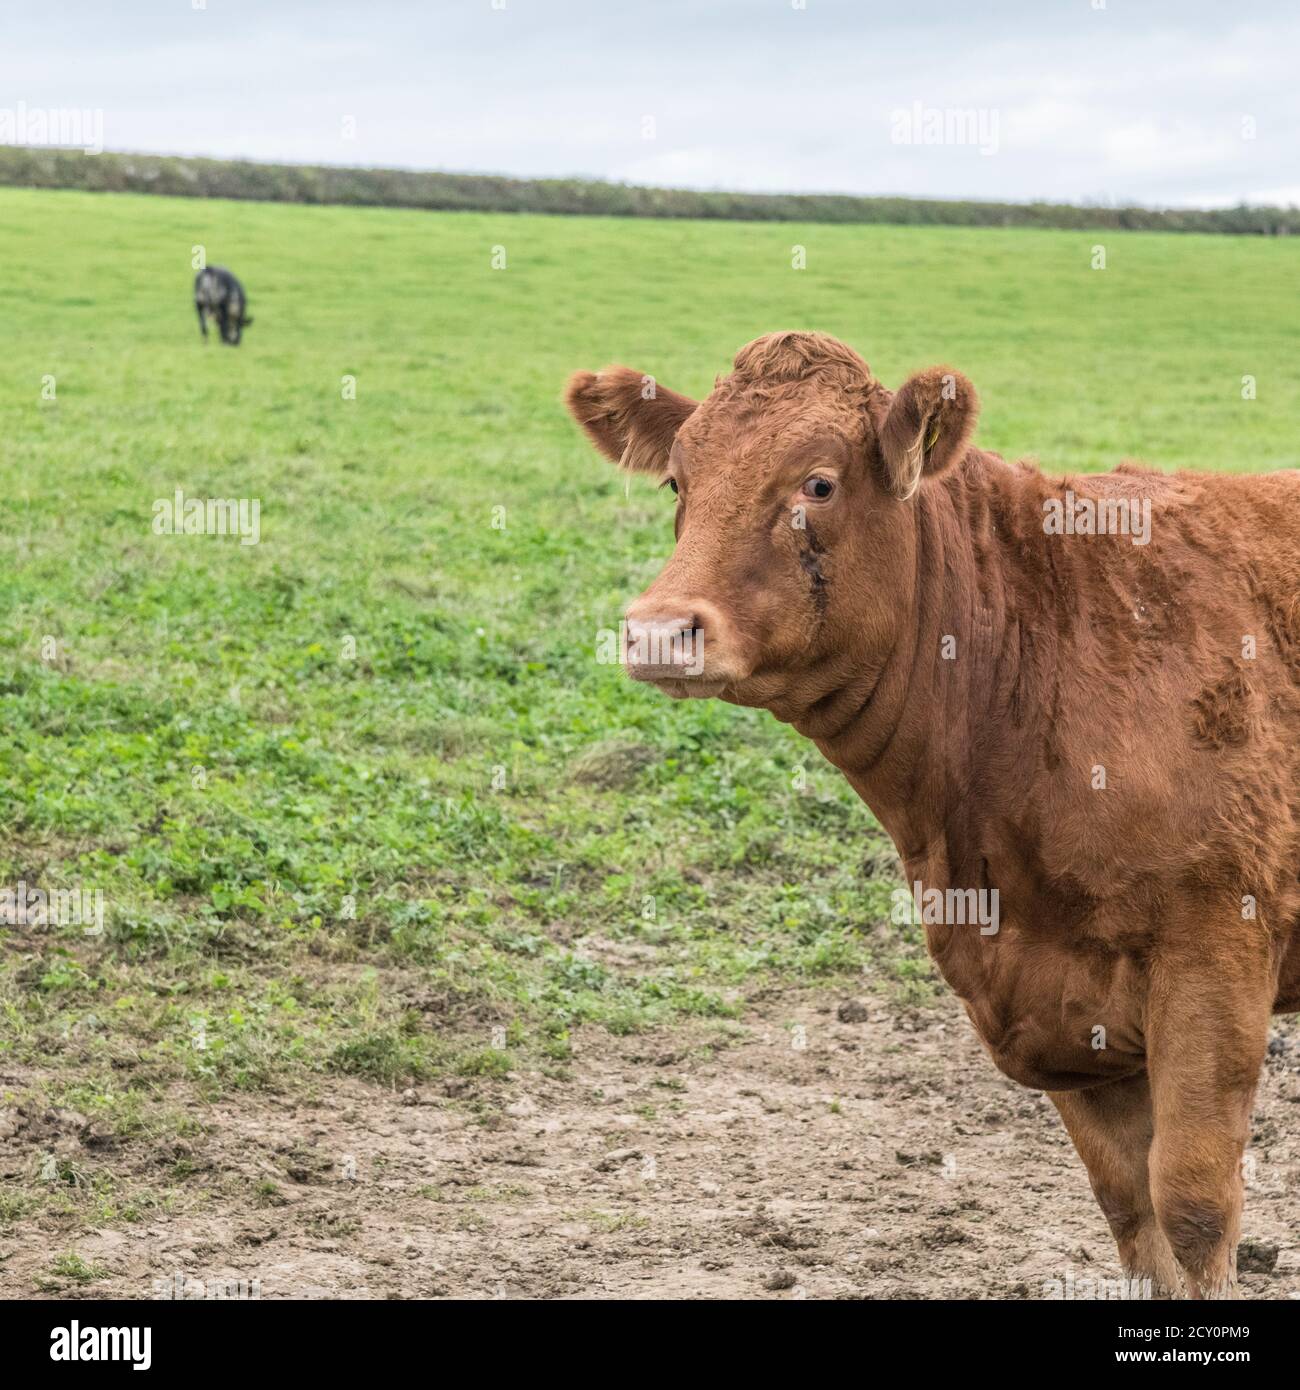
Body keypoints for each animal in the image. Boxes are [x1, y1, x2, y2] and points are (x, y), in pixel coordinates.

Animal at [565, 332, 1300, 1300]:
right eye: (678, 482)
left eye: (819, 483)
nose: (657, 630)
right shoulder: (1065, 1009)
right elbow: (1130, 1209)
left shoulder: (1217, 947)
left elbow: (1190, 1205)